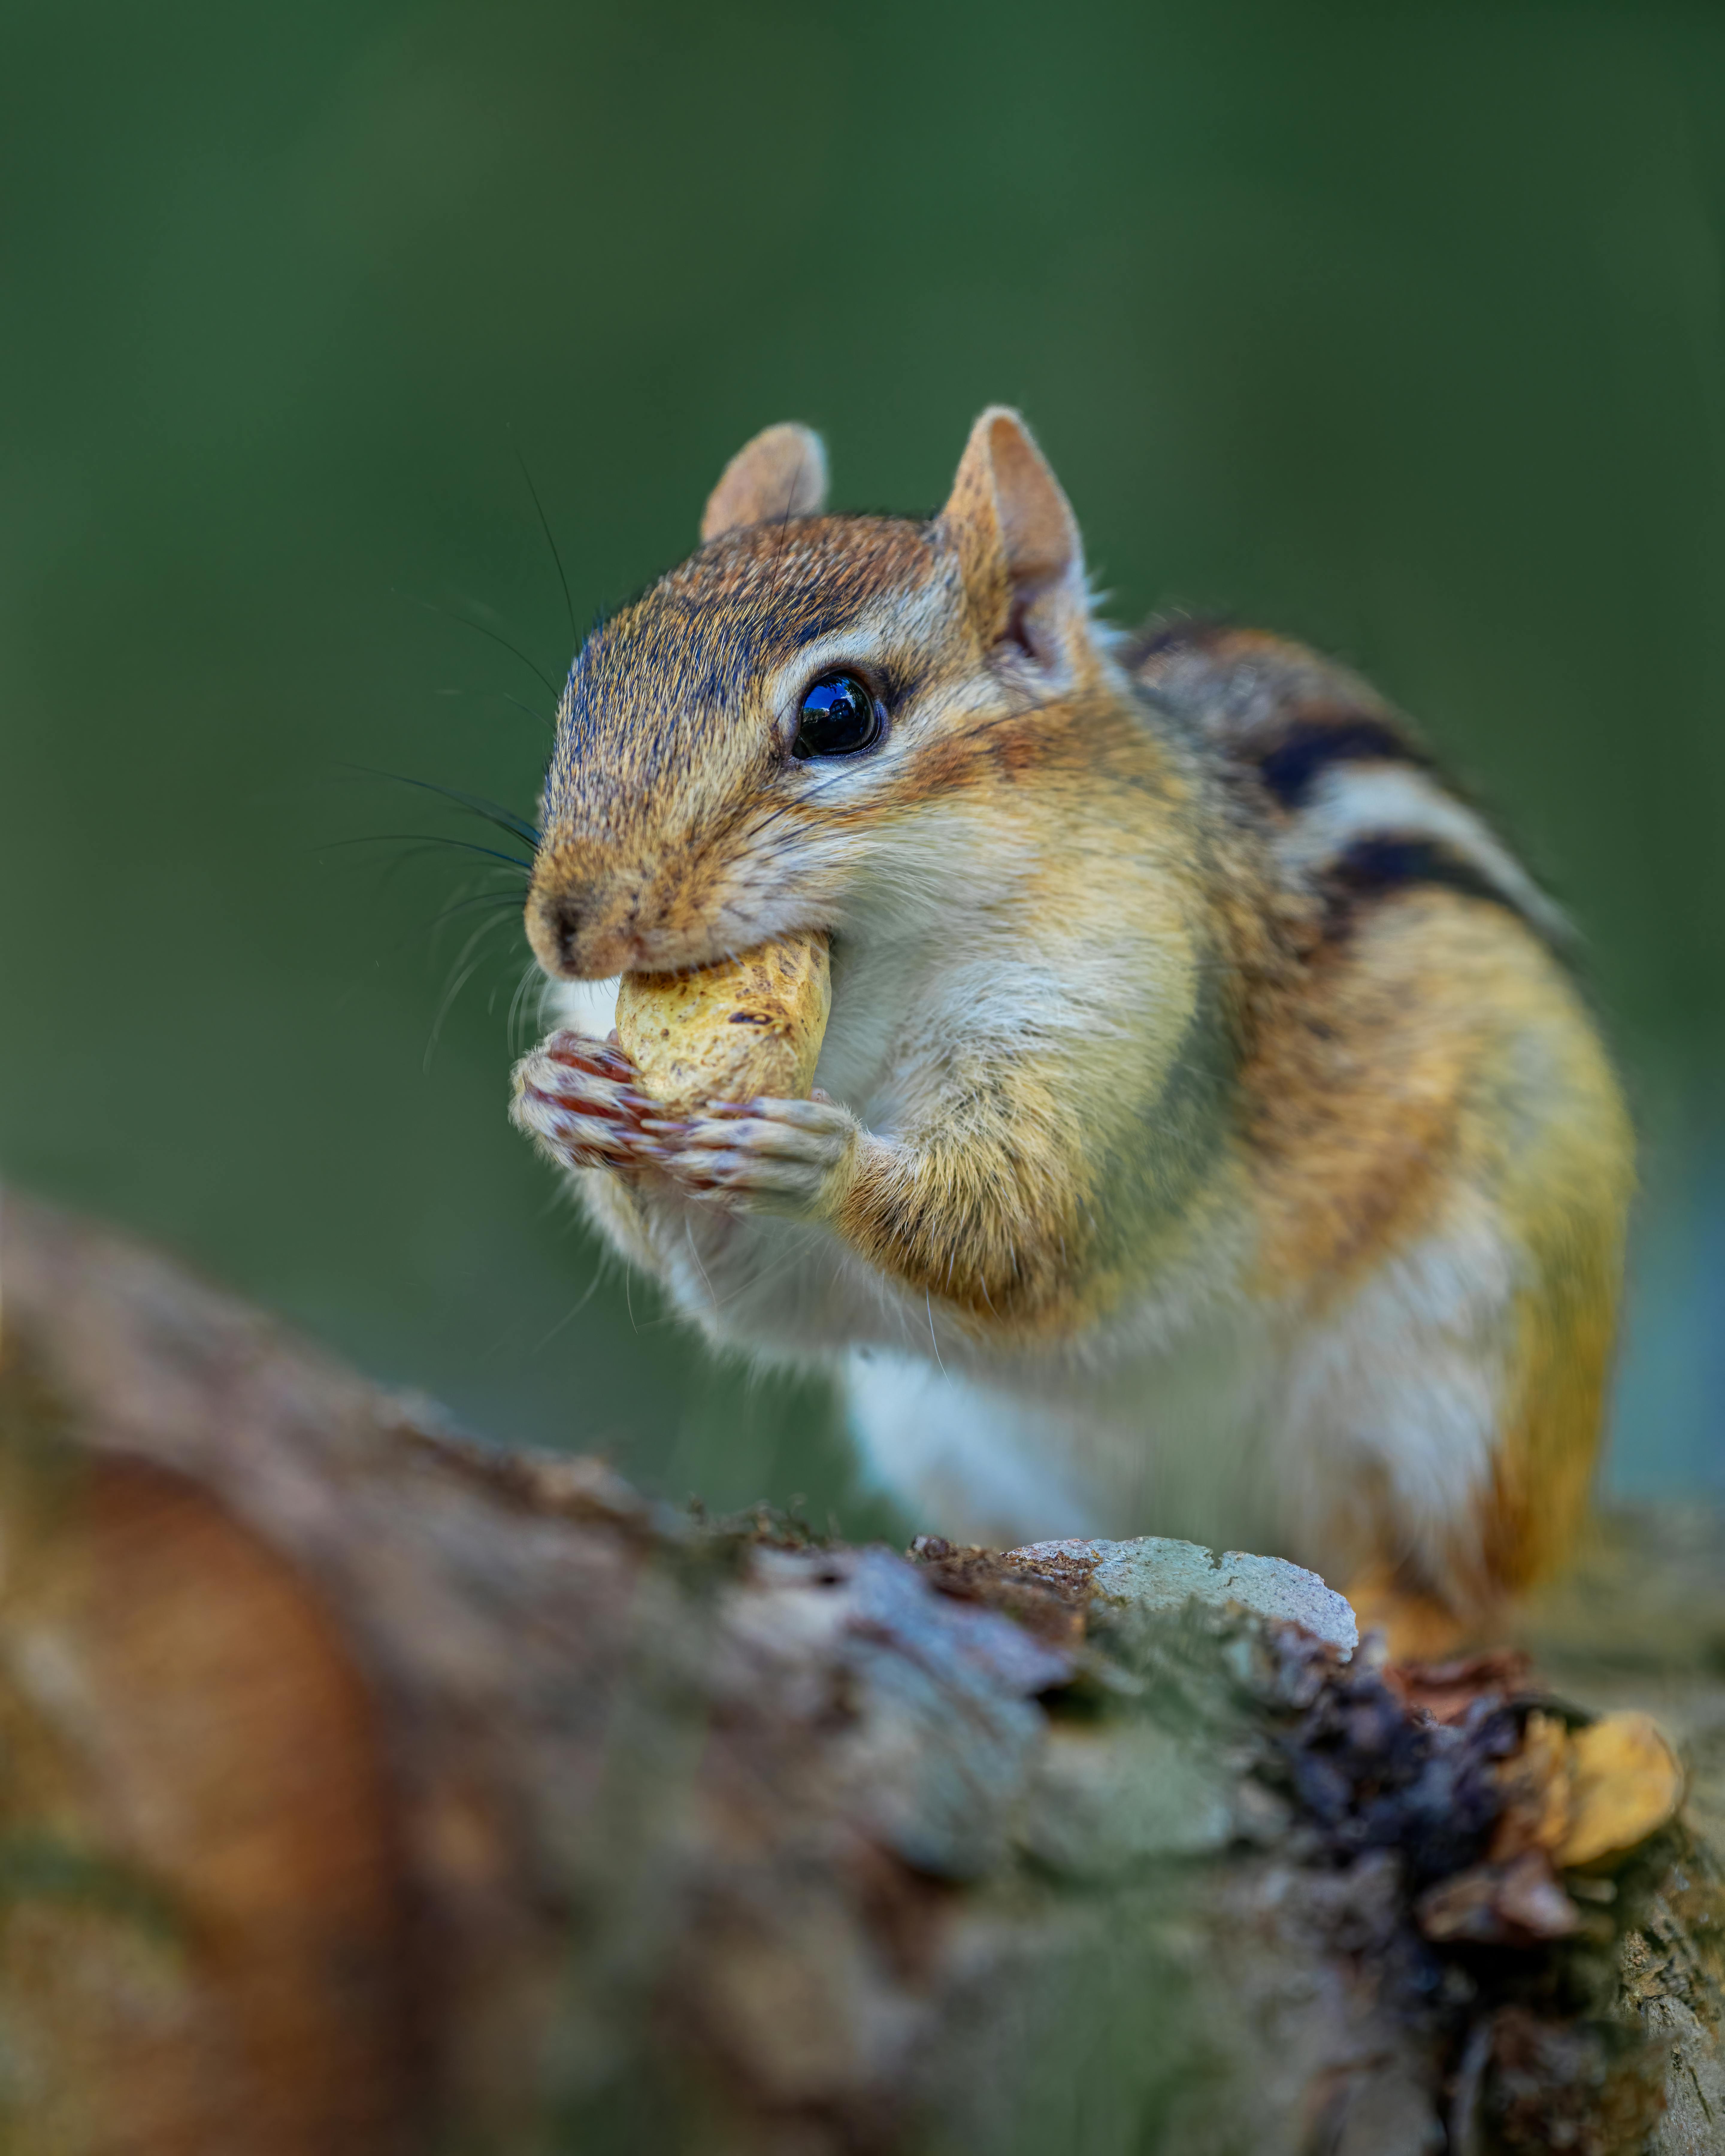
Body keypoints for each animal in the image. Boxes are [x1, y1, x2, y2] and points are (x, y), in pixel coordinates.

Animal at [509, 408, 1633, 1655]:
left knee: (1474, 1586)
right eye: (587, 683)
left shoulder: (1131, 1031)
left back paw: (1404, 1616)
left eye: (838, 713)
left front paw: (814, 1157)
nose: (567, 929)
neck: (878, 998)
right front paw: (557, 1090)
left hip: (1480, 1348)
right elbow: (754, 1295)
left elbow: (1028, 1220)